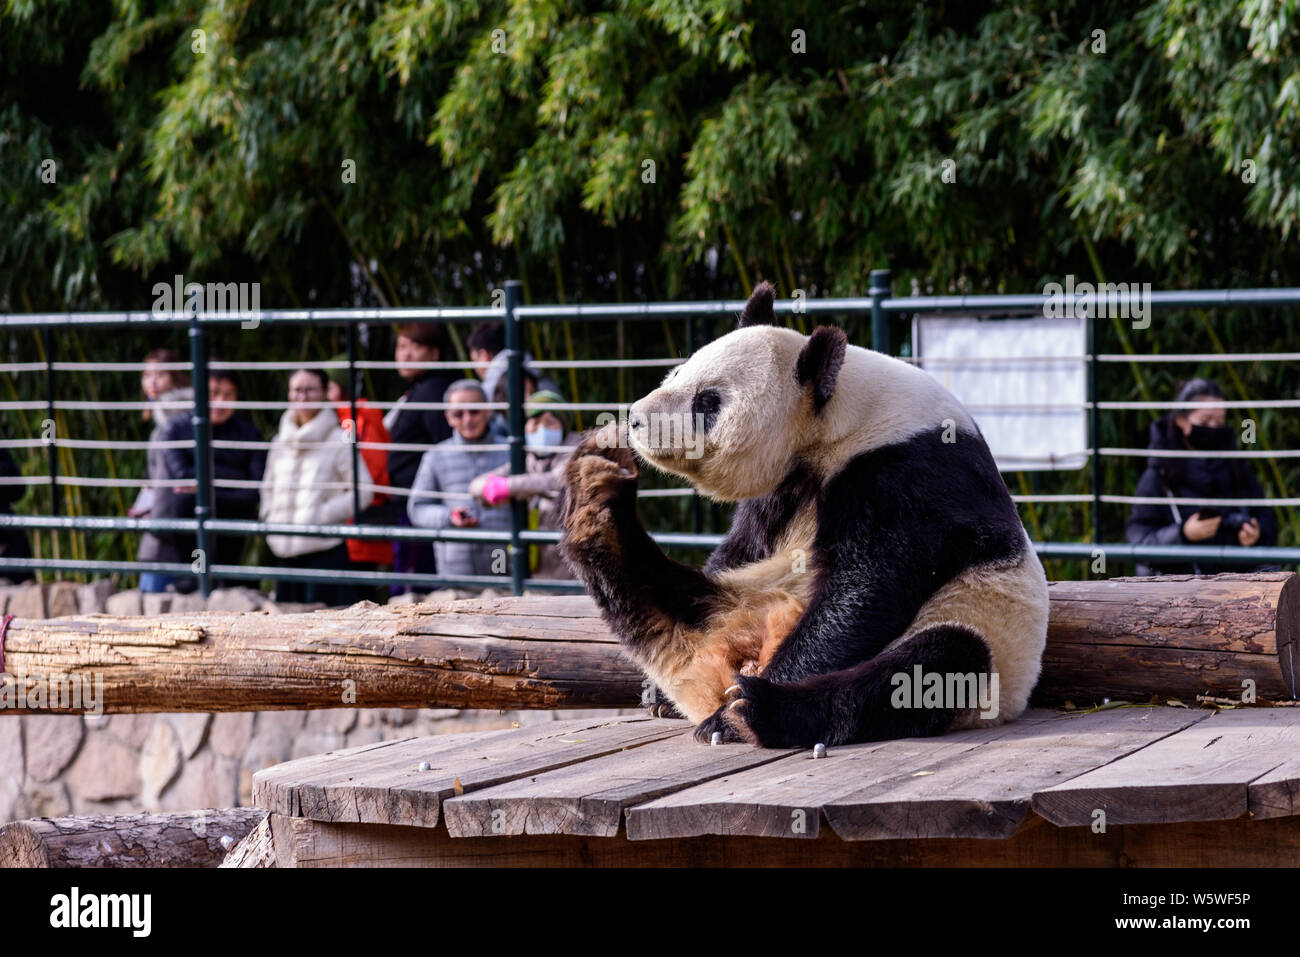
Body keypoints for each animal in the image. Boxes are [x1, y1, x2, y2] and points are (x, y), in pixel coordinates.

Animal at [559, 281, 1049, 748]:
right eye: (678, 372)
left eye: (707, 402)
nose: (637, 419)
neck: (836, 417)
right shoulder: (782, 491)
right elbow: (741, 547)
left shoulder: (908, 468)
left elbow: (869, 586)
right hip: (744, 596)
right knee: (671, 595)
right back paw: (595, 508)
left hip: (983, 630)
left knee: (933, 665)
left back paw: (750, 713)